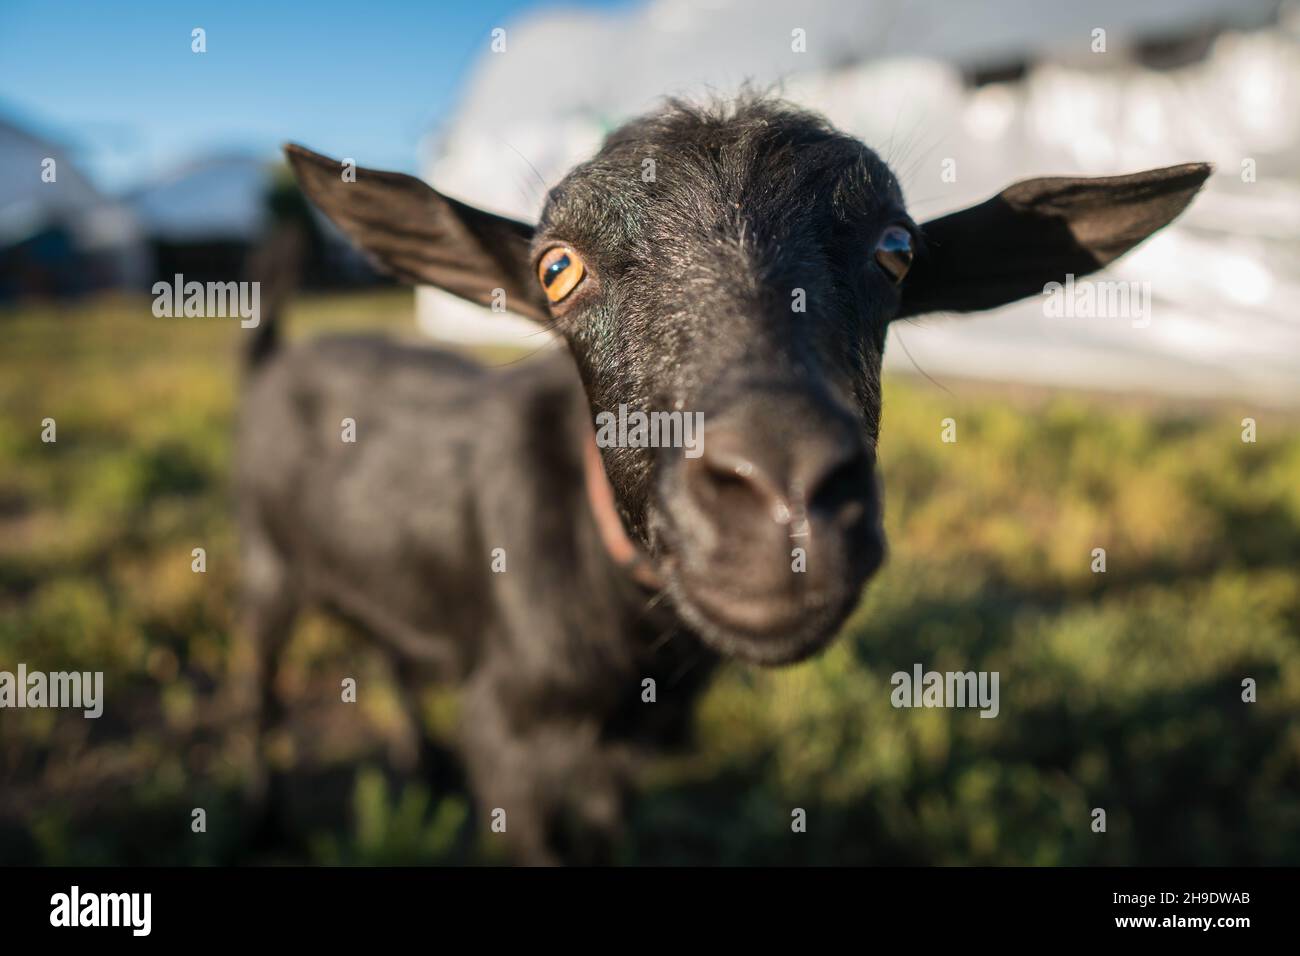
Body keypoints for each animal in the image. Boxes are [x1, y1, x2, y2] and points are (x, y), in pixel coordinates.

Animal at [235, 95, 1208, 864]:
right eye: (556, 269)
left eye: (896, 251)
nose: (783, 493)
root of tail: (279, 355)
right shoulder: (508, 742)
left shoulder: (621, 760)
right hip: (265, 565)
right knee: (264, 687)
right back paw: (268, 821)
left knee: (388, 647)